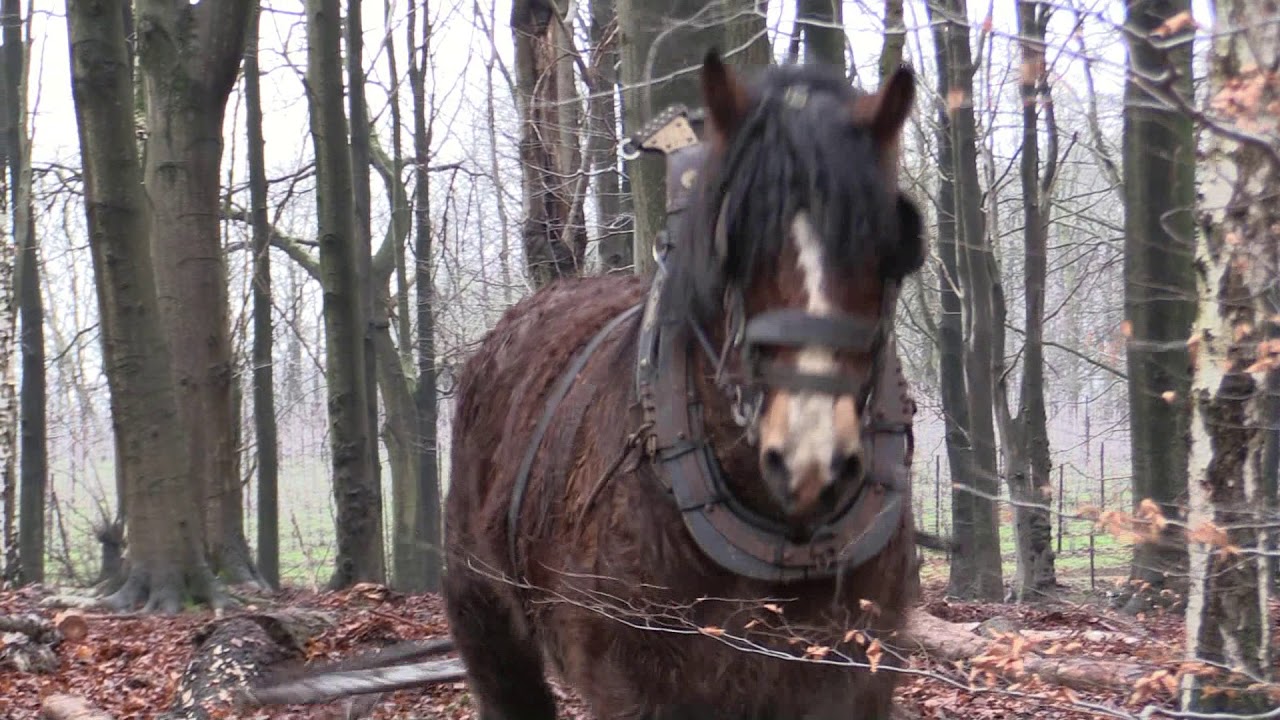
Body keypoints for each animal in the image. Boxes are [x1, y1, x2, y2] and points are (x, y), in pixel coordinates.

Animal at [442, 49, 928, 720]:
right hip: (484, 614)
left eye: (889, 249)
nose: (812, 461)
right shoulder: (632, 686)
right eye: (733, 242)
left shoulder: (858, 674)